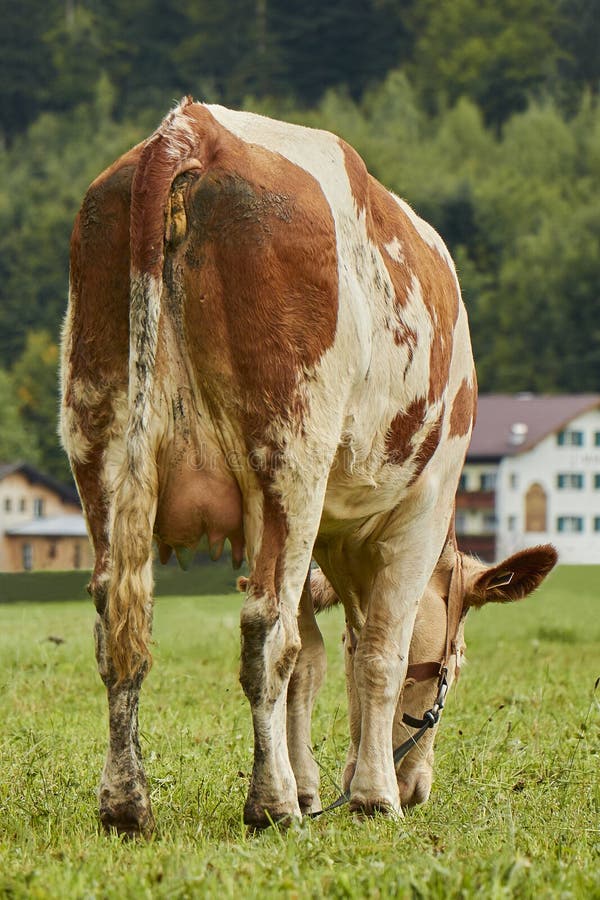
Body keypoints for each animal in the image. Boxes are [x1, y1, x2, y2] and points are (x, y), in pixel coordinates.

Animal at [62, 96, 484, 835]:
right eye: (449, 666)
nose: (418, 786)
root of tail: (192, 128)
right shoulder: (423, 506)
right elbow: (377, 650)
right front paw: (371, 795)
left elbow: (320, 657)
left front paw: (320, 785)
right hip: (291, 455)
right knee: (265, 630)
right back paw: (271, 803)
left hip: (99, 444)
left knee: (117, 619)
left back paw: (126, 803)